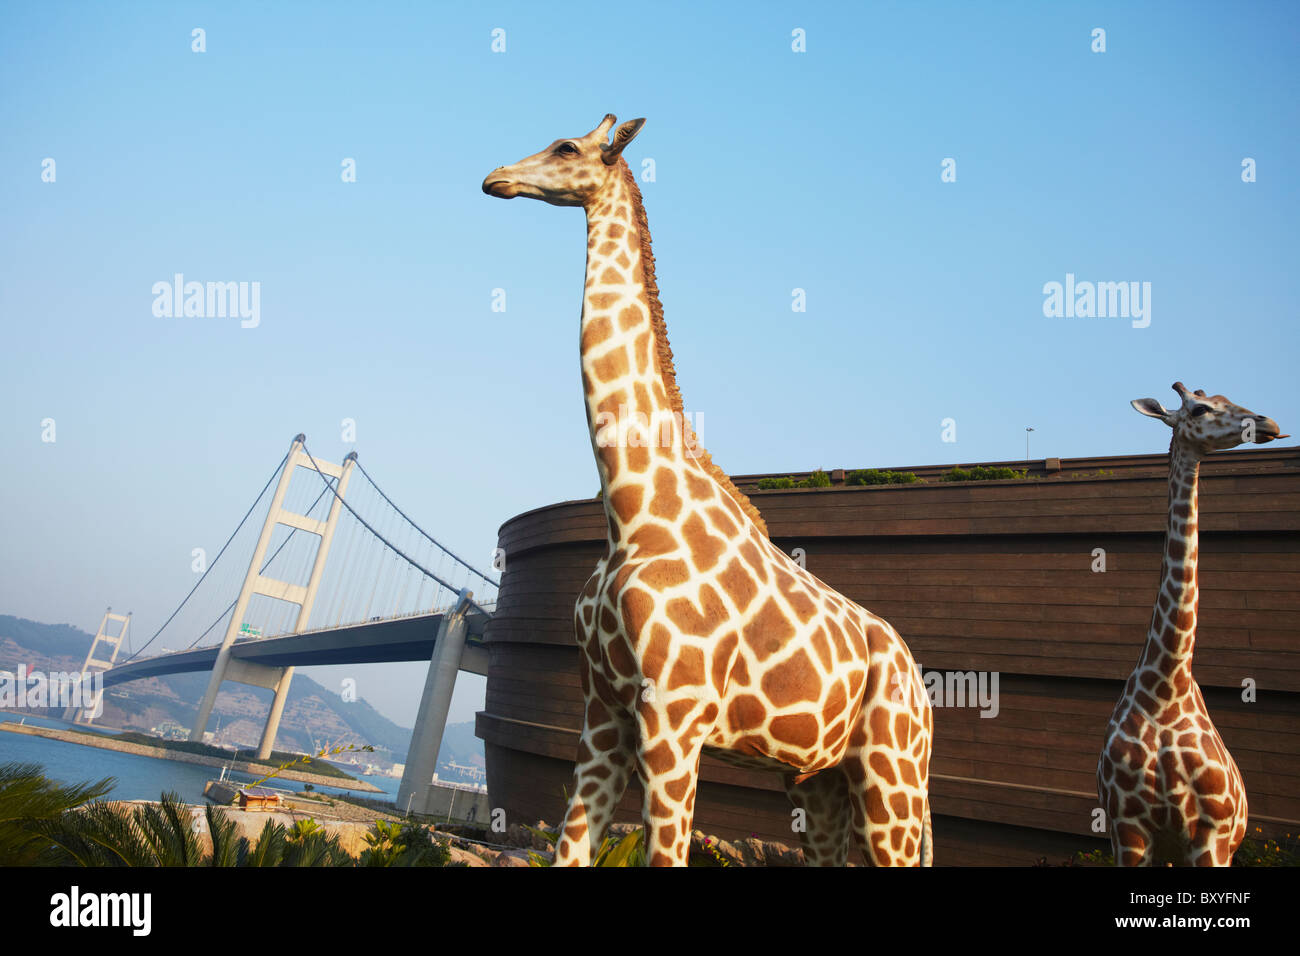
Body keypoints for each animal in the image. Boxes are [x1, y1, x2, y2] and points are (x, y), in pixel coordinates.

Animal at [483, 114, 932, 866]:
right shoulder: (601, 709)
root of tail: (926, 698)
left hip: (892, 775)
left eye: (566, 148)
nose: (496, 179)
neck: (632, 508)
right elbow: (568, 848)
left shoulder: (674, 716)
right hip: (820, 777)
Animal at [1098, 382, 1287, 866]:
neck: (1167, 690)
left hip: (1222, 843)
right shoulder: (1128, 829)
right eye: (1200, 409)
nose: (1269, 423)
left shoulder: (1210, 835)